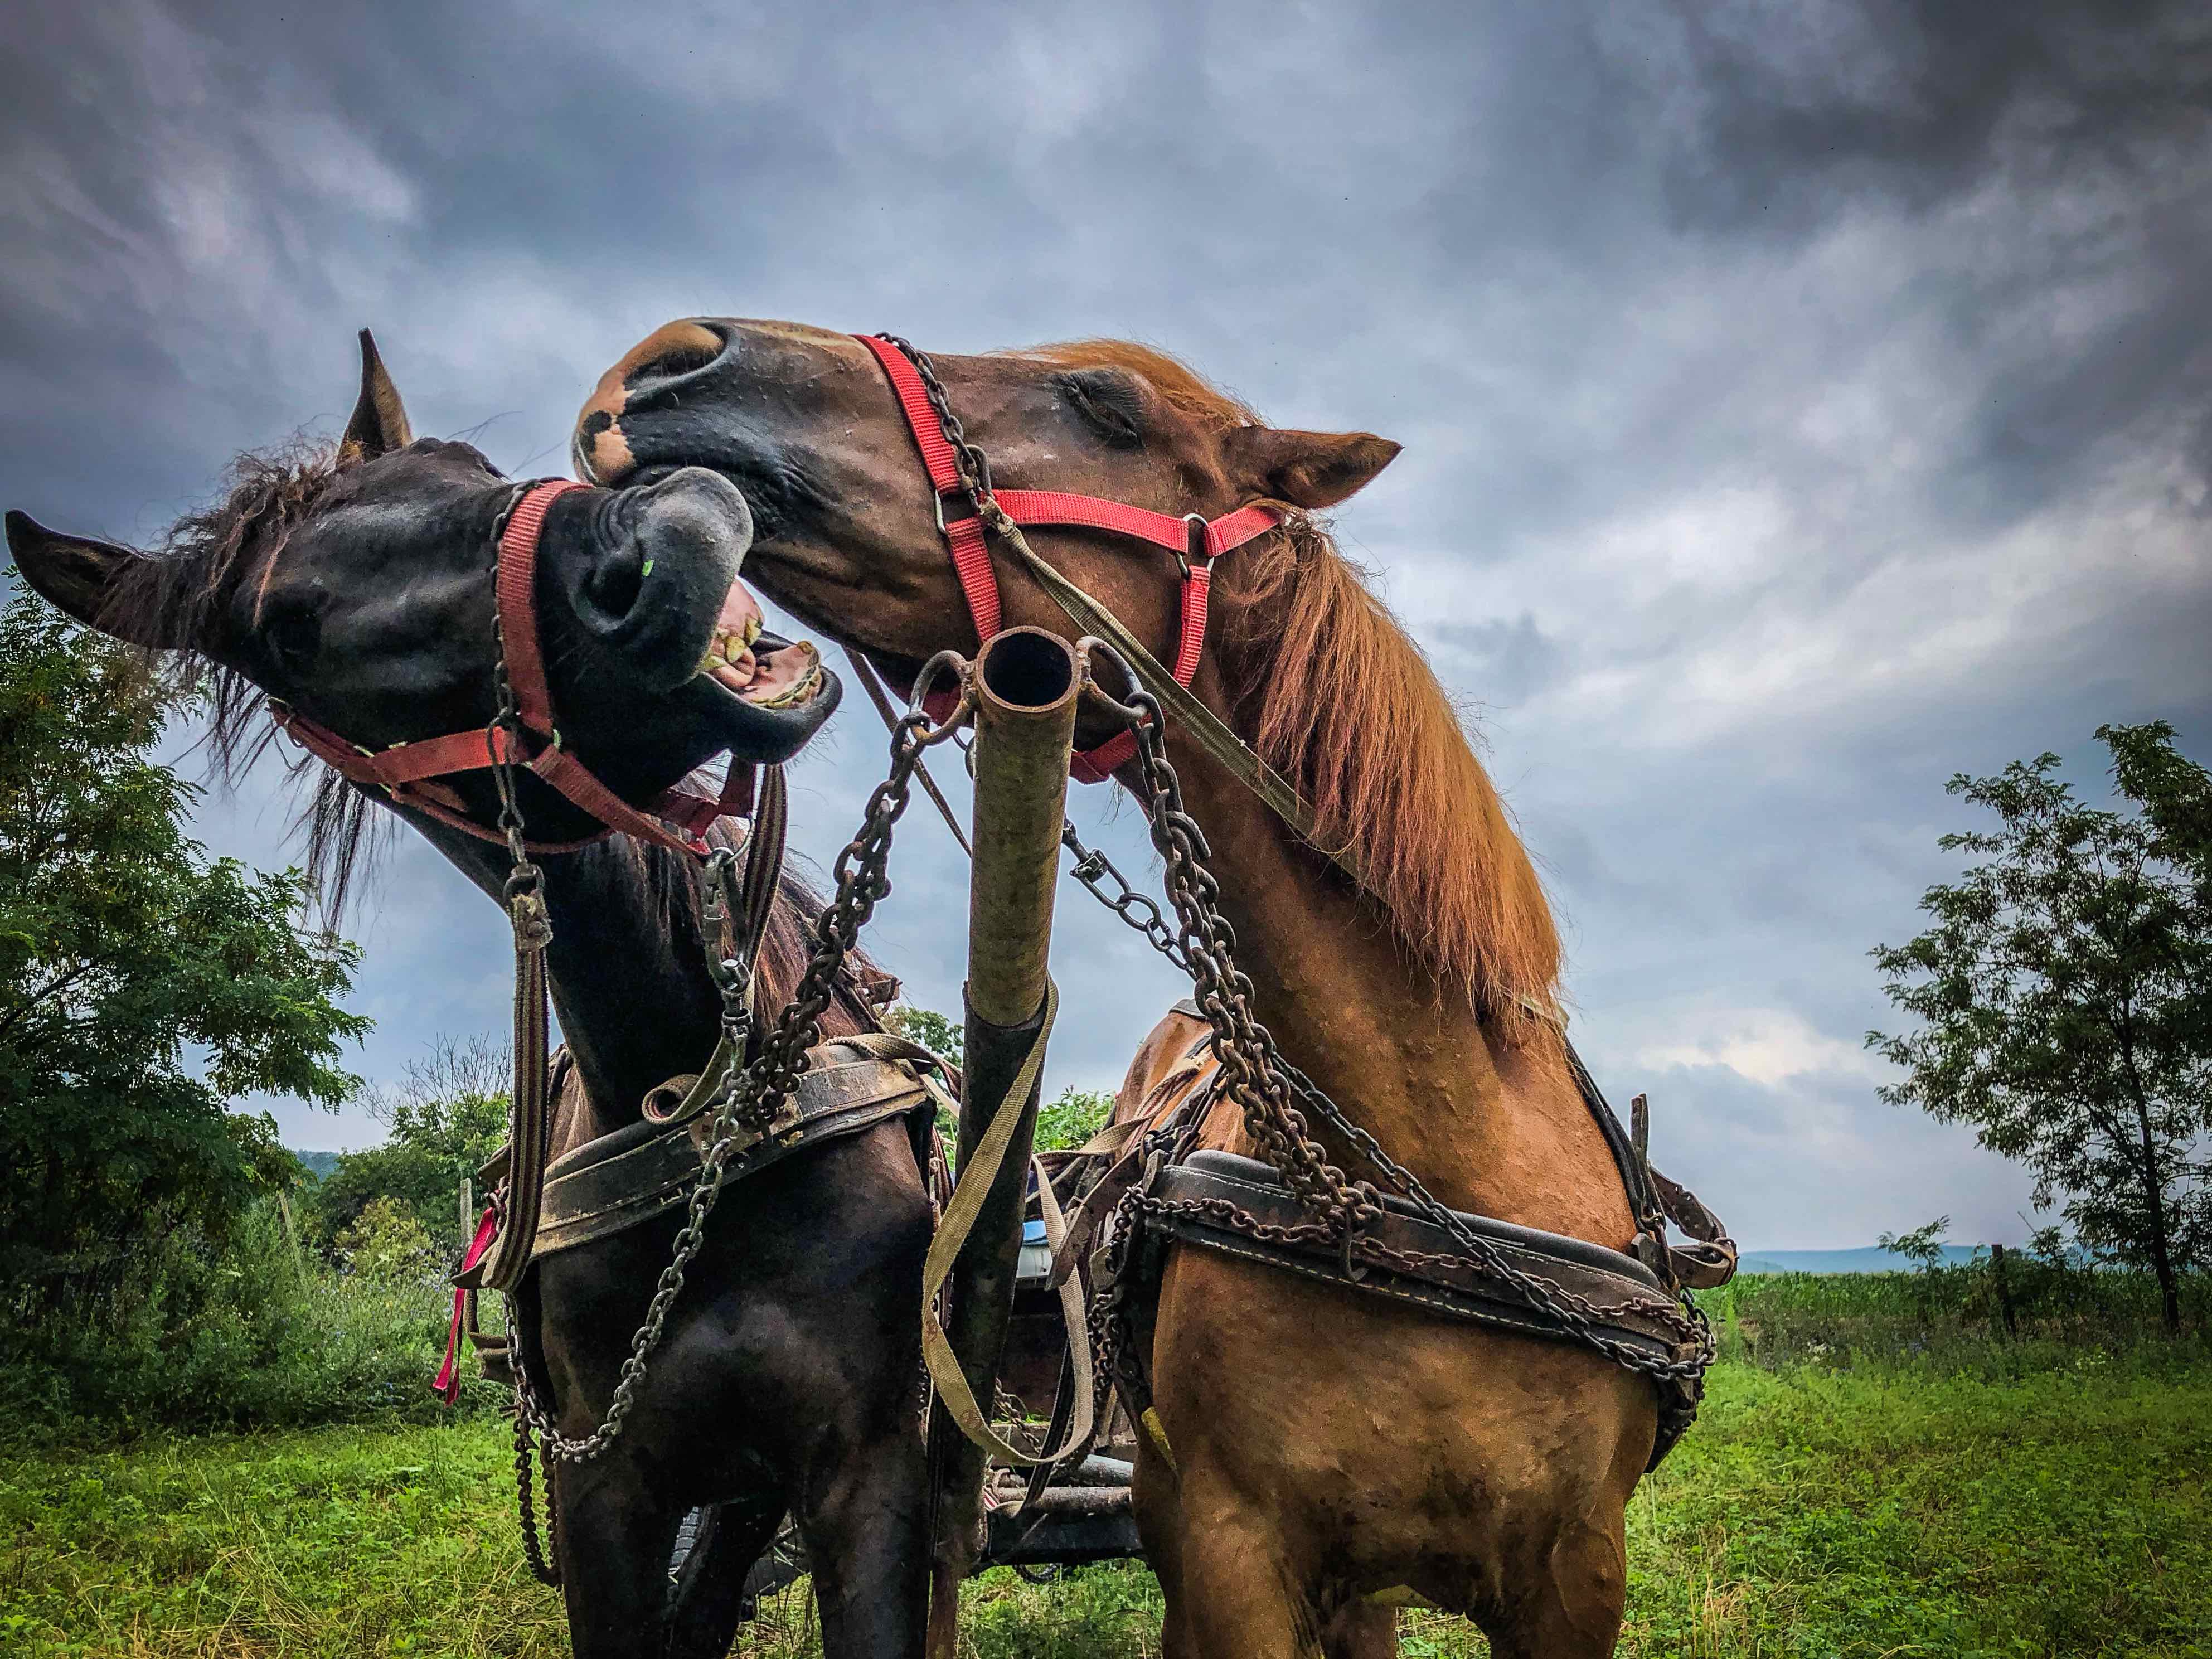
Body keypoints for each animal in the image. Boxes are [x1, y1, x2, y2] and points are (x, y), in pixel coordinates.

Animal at [8, 335, 935, 1659]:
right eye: (288, 628)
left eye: (467, 467)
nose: (671, 538)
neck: (697, 1109)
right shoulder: (603, 1490)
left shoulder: (867, 1468)